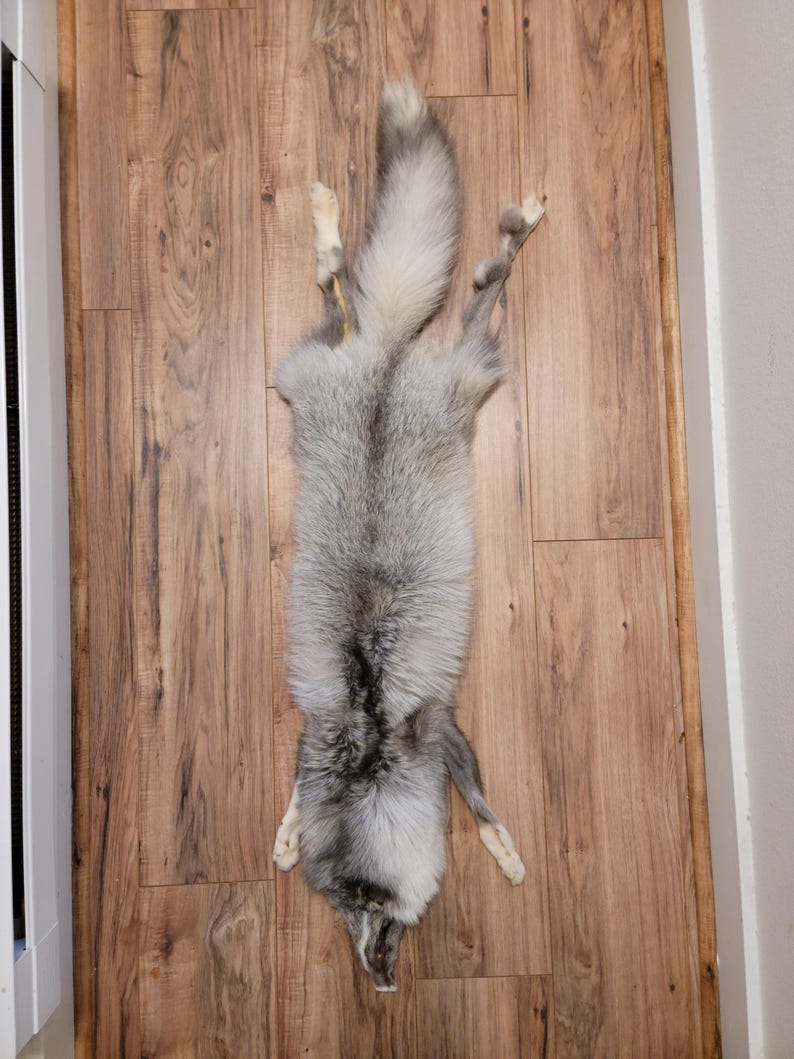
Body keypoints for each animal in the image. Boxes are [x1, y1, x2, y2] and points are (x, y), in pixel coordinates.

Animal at [272, 79, 544, 991]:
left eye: (369, 916)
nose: (382, 985)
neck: (368, 741)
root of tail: (391, 361)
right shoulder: (321, 733)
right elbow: (294, 793)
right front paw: (287, 833)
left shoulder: (438, 727)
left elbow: (484, 808)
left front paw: (505, 853)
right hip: (322, 375)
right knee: (341, 293)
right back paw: (329, 226)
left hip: (464, 377)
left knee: (469, 292)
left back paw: (517, 226)